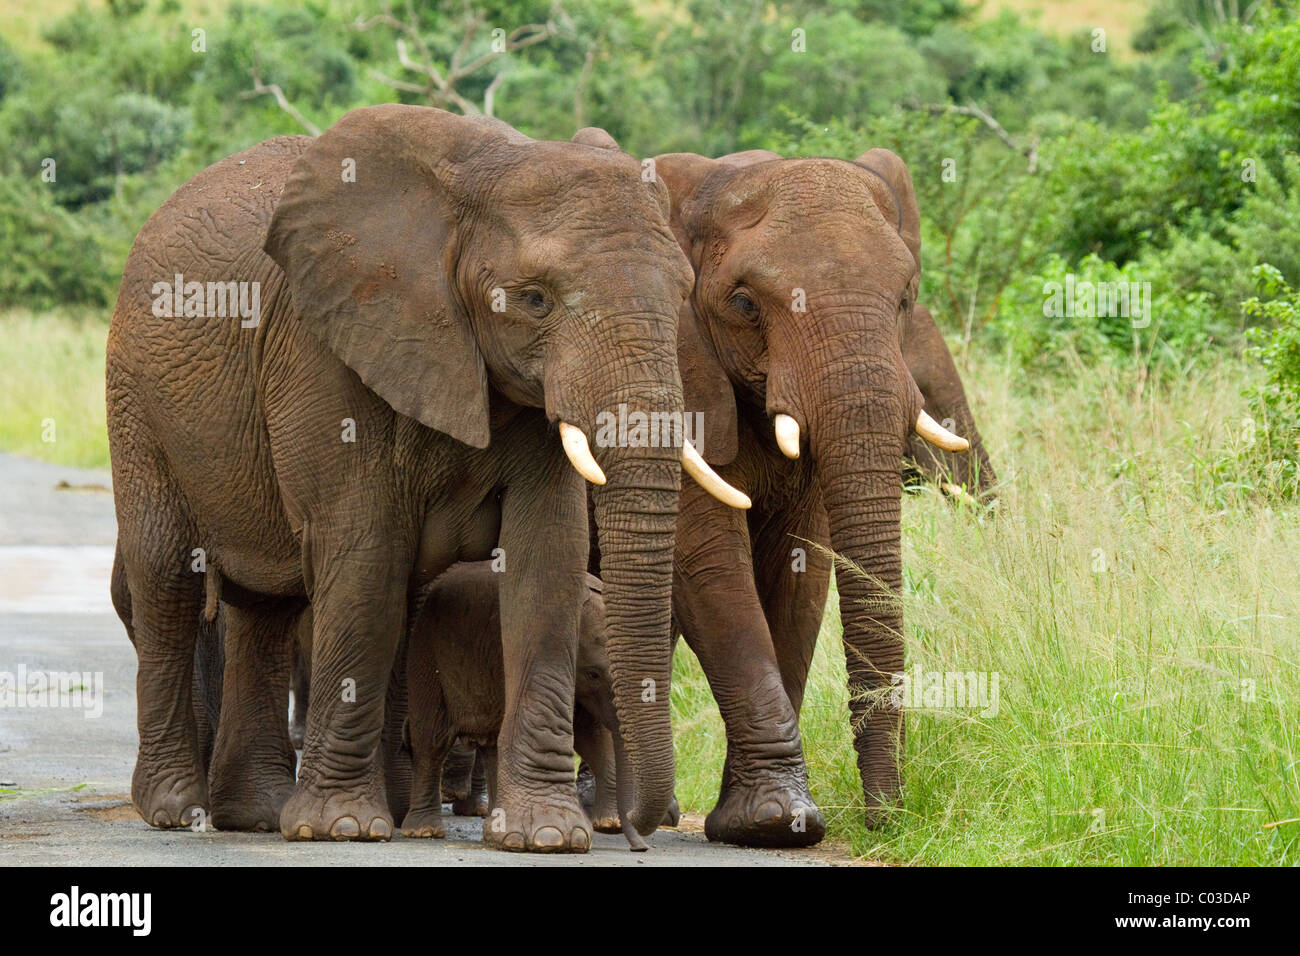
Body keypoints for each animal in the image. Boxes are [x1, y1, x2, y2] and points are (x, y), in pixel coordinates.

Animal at [399, 561, 647, 848]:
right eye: (594, 674)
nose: (640, 847)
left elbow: (591, 736)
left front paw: (610, 823)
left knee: (489, 744)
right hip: (426, 657)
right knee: (432, 740)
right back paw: (424, 831)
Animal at [626, 146, 971, 845]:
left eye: (905, 298)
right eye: (744, 304)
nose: (887, 819)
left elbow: (800, 574)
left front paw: (765, 823)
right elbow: (708, 562)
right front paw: (773, 820)